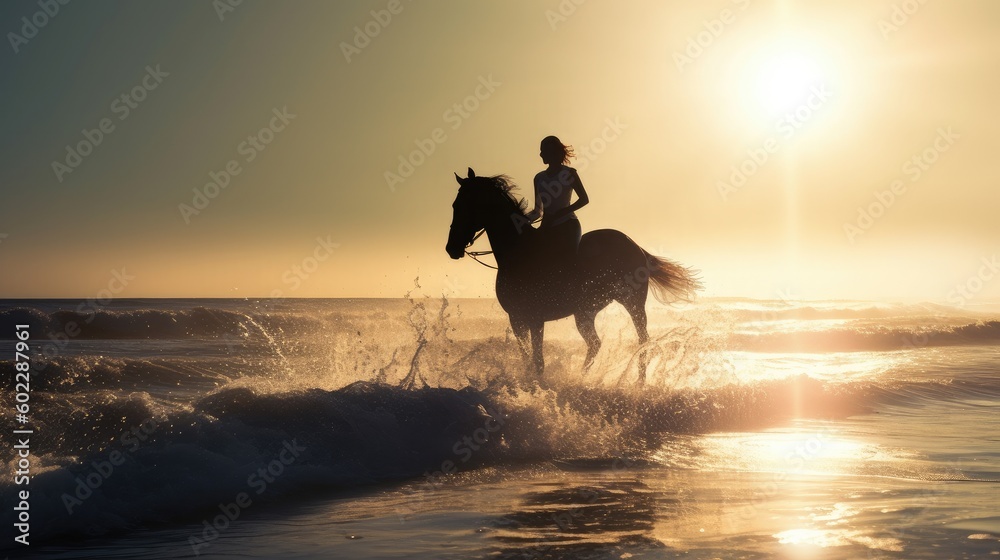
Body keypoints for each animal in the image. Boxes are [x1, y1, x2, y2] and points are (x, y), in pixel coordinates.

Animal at [445, 168, 701, 380]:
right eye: (455, 205)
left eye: (465, 206)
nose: (451, 249)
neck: (519, 253)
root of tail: (634, 245)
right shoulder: (516, 318)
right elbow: (527, 359)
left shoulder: (535, 318)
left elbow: (538, 362)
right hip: (586, 311)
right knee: (595, 343)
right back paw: (582, 377)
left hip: (633, 302)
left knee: (643, 340)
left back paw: (639, 382)